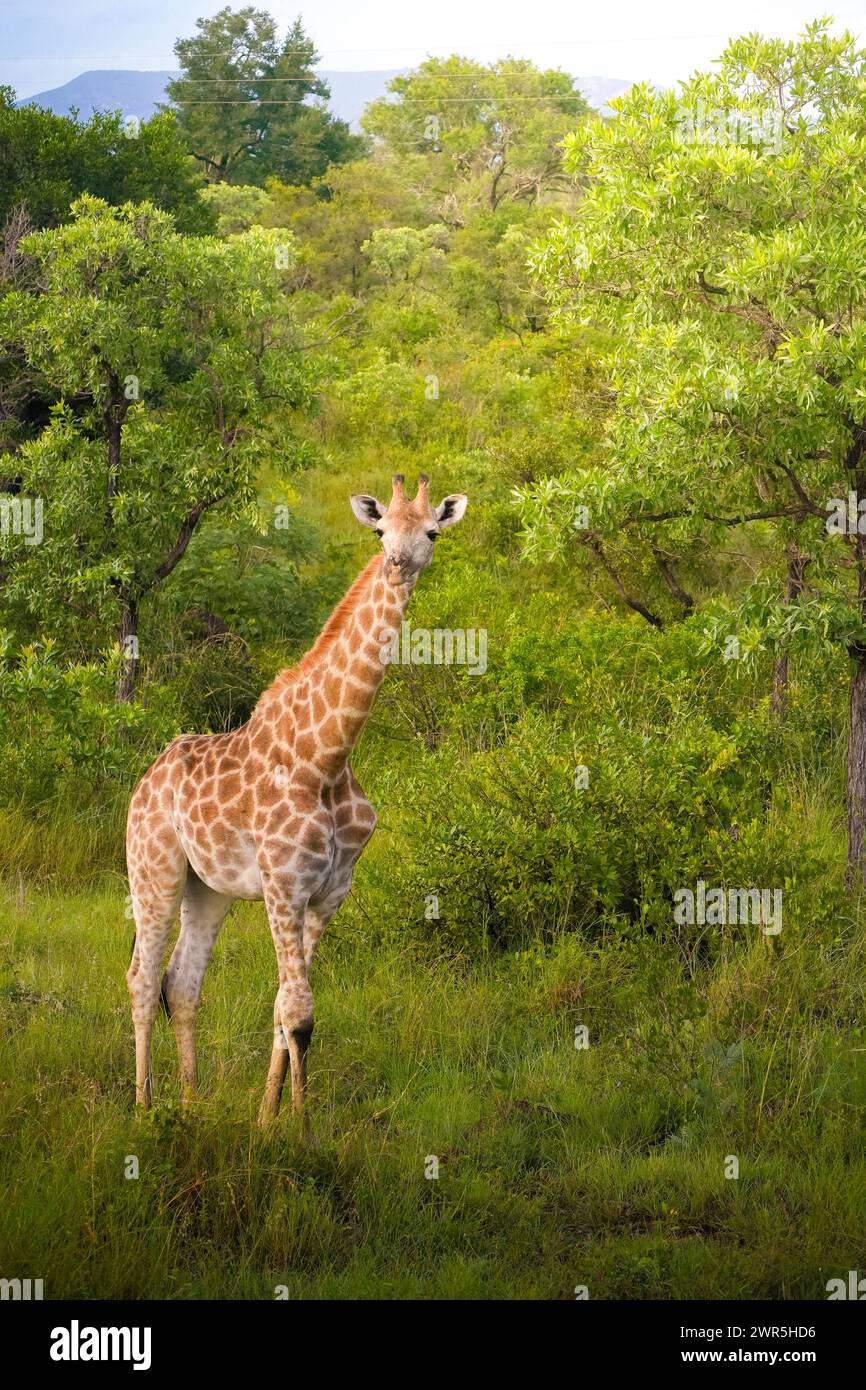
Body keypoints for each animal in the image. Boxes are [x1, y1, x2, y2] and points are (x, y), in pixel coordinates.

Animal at [125, 474, 468, 1128]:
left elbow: (289, 1010)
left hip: (208, 888)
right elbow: (299, 1012)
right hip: (153, 870)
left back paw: (191, 1102)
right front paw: (301, 1134)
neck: (327, 756)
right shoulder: (284, 886)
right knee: (140, 977)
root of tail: (143, 782)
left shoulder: (328, 894)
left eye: (432, 532)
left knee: (181, 982)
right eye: (380, 529)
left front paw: (266, 1121)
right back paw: (144, 1108)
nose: (398, 563)